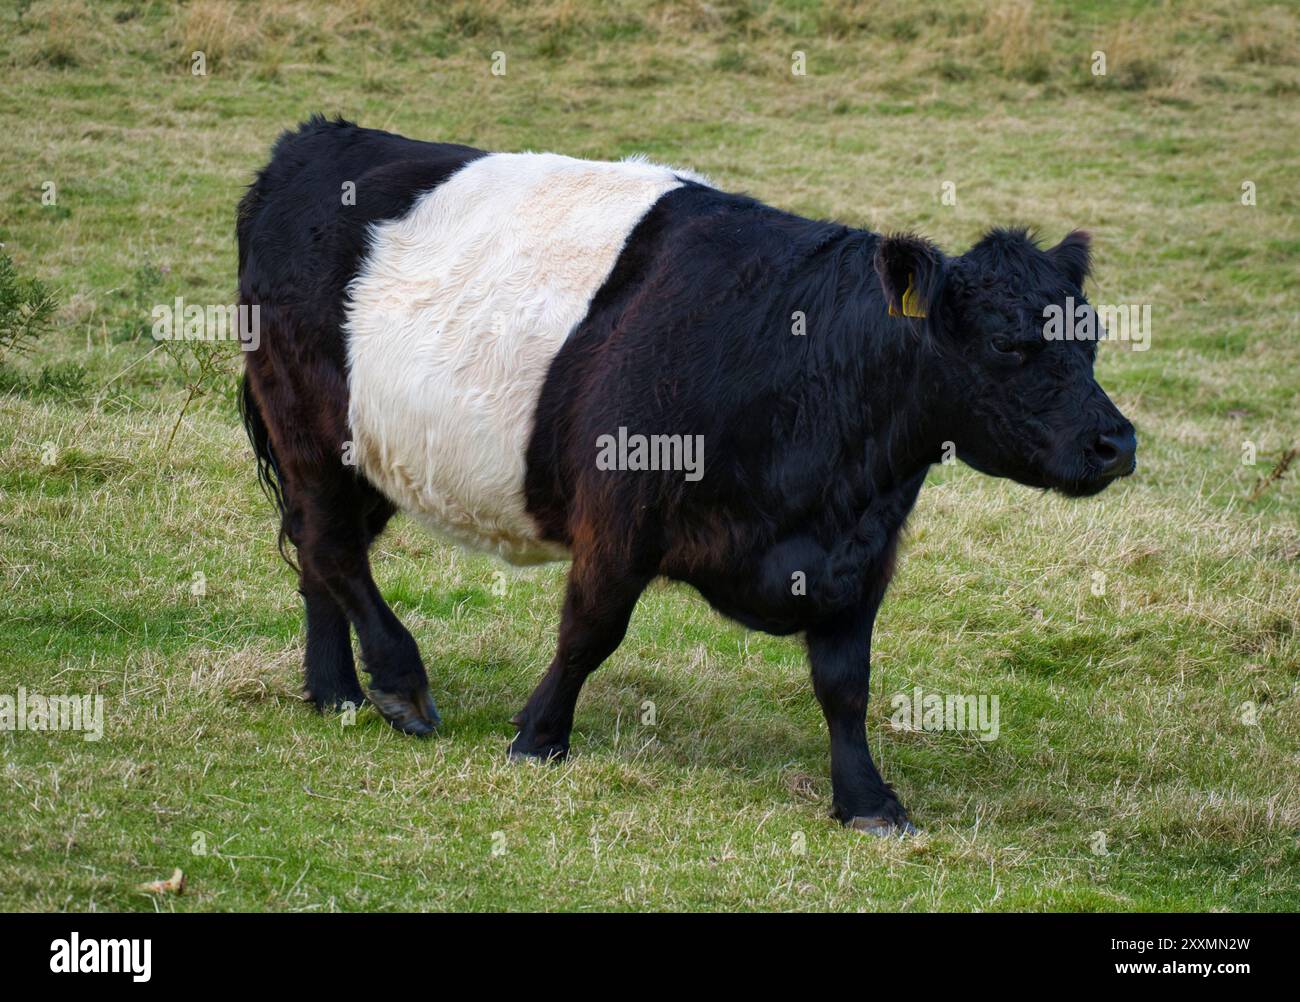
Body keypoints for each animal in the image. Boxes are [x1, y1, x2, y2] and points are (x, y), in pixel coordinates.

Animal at [237, 116, 1136, 835]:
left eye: (1089, 336)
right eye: (1009, 344)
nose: (1116, 442)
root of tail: (313, 139)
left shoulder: (863, 549)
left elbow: (845, 683)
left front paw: (868, 801)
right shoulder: (620, 514)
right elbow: (590, 632)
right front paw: (538, 738)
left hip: (364, 456)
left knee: (321, 556)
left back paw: (335, 690)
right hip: (307, 424)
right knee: (332, 549)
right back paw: (396, 683)